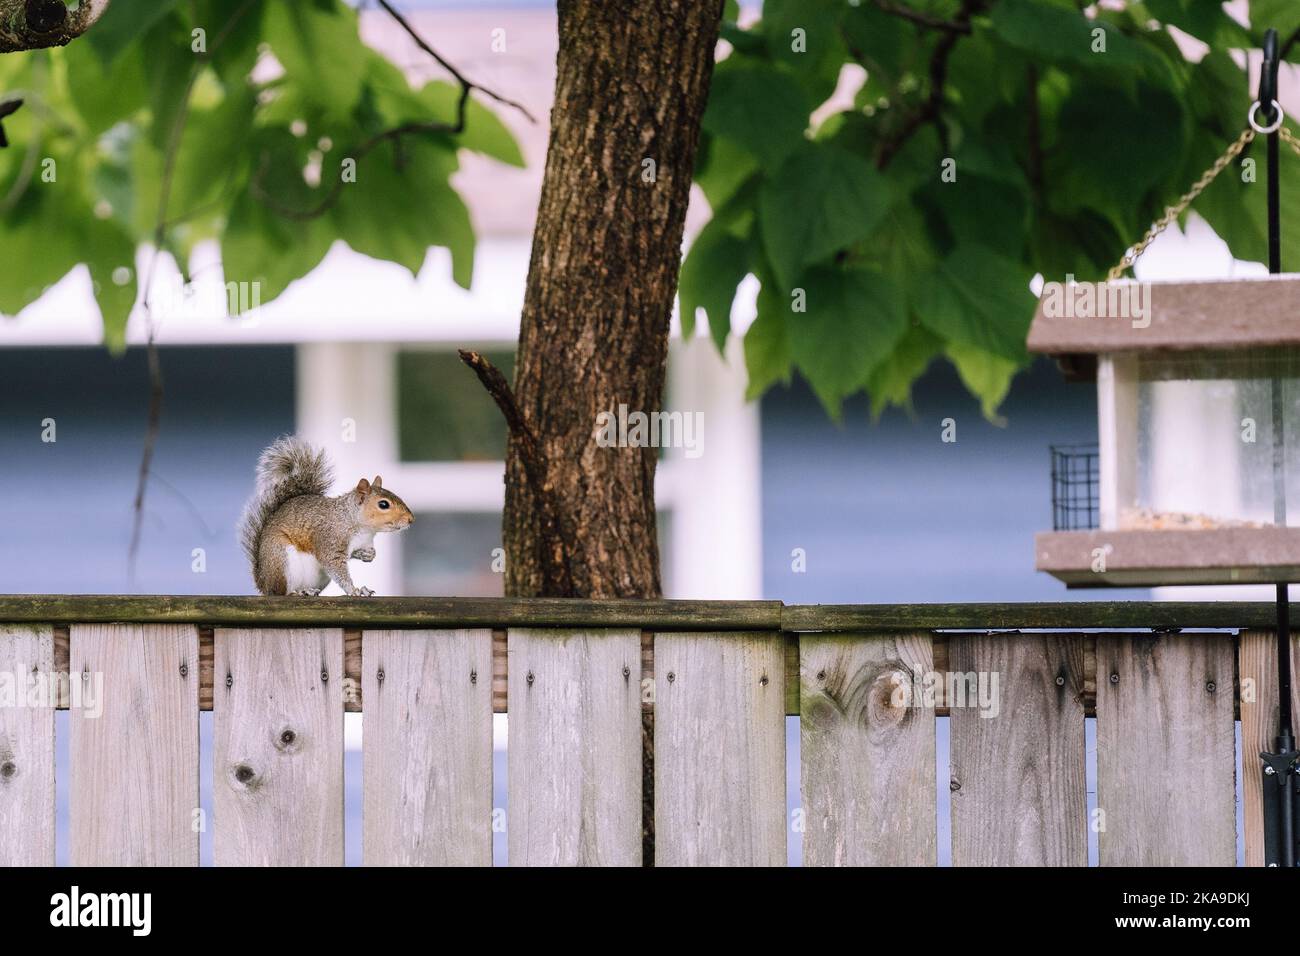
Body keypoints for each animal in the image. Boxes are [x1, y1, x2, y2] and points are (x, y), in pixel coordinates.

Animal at [238, 436, 413, 596]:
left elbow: (355, 554)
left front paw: (369, 555)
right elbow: (333, 563)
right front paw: (354, 590)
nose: (411, 519)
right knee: (280, 592)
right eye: (383, 504)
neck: (361, 527)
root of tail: (263, 583)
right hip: (281, 559)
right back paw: (297, 592)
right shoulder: (330, 539)